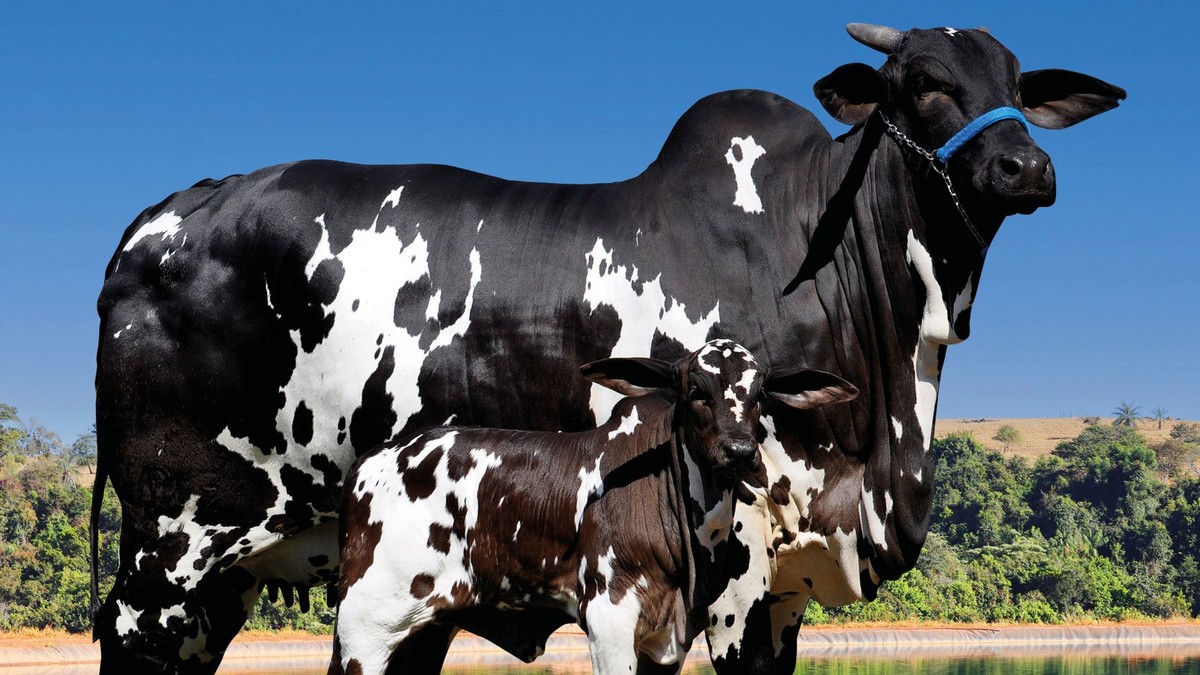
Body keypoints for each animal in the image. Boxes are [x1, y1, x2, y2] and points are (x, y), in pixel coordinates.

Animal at [329, 340, 858, 674]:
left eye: (759, 394)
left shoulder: (664, 640)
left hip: (422, 631)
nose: (740, 452)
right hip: (365, 625)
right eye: (695, 391)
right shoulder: (610, 616)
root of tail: (370, 462)